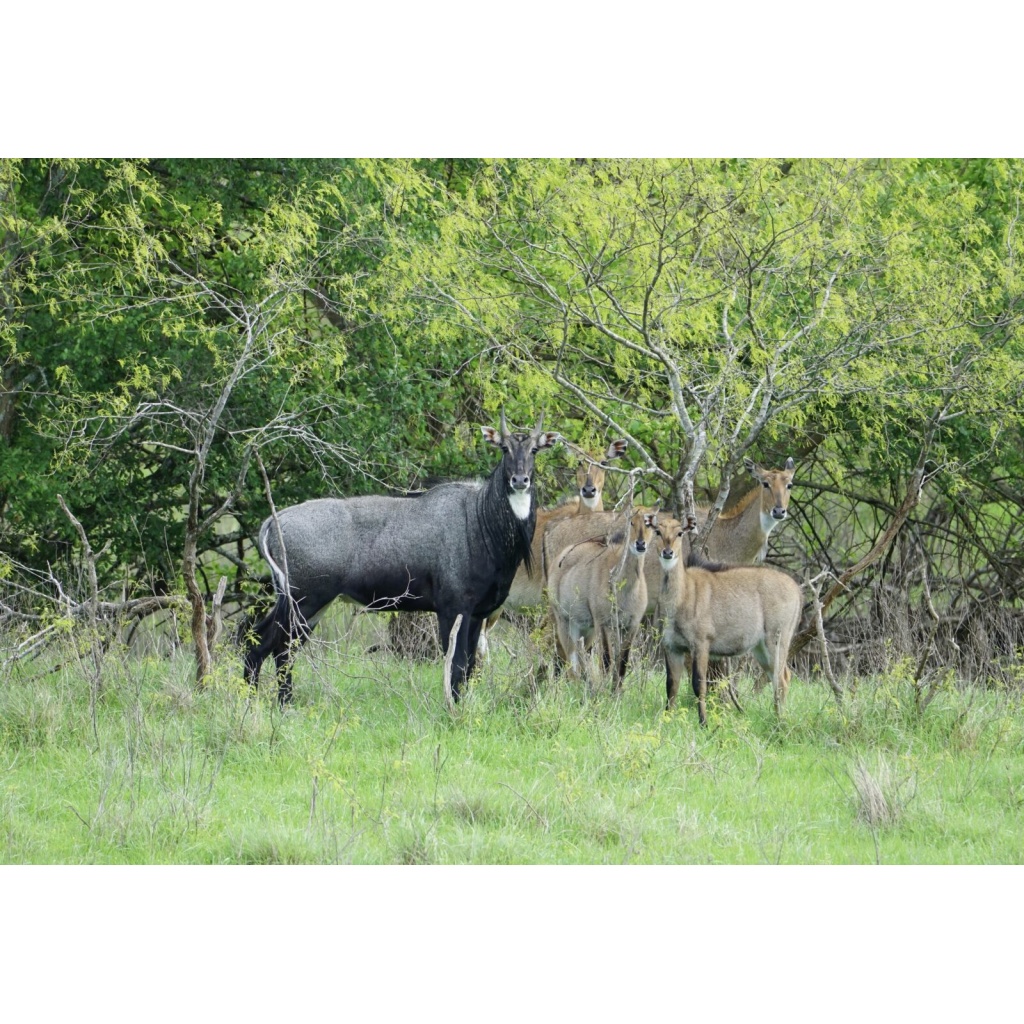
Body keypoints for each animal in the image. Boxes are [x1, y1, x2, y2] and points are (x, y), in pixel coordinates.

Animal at [244, 412, 559, 704]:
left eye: (534, 449)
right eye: (504, 448)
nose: (520, 480)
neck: (480, 520)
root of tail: (273, 522)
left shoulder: (478, 614)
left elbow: (469, 668)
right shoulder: (452, 608)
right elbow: (455, 666)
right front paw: (453, 709)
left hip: (310, 605)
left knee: (276, 646)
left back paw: (278, 704)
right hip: (303, 600)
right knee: (265, 643)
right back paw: (265, 704)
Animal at [548, 508, 657, 690]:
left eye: (649, 522)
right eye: (631, 522)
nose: (640, 544)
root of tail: (561, 556)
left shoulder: (631, 625)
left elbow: (623, 662)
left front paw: (616, 691)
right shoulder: (603, 622)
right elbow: (606, 660)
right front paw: (606, 691)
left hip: (586, 628)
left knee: (579, 657)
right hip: (565, 621)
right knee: (570, 659)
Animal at [654, 515, 802, 727]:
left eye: (680, 533)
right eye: (657, 531)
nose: (668, 552)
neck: (682, 593)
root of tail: (796, 589)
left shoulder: (701, 644)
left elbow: (699, 683)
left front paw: (704, 723)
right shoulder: (672, 647)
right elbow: (671, 685)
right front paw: (666, 721)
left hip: (776, 640)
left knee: (780, 679)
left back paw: (779, 723)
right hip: (760, 648)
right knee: (782, 676)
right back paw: (777, 719)